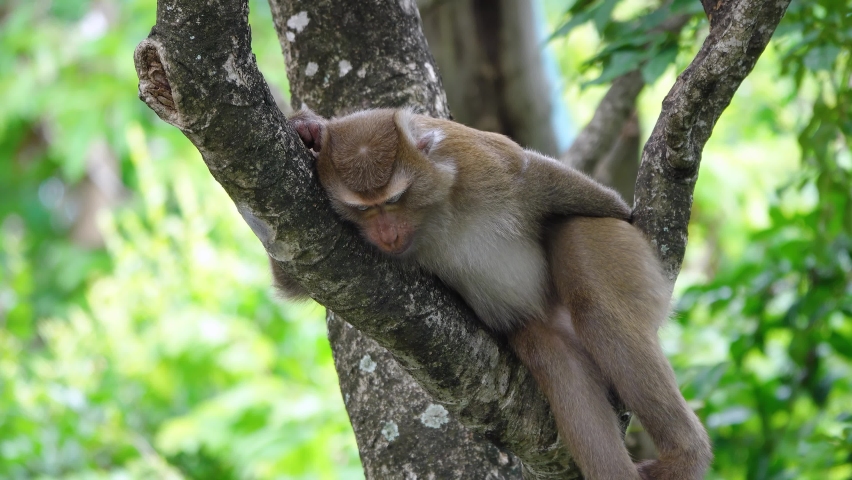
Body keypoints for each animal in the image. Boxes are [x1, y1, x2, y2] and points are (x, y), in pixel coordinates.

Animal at [272, 108, 712, 480]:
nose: (386, 234)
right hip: (541, 327)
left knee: (592, 291)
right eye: (363, 210)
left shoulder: (485, 163)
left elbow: (556, 183)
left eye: (394, 199)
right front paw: (305, 129)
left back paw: (686, 455)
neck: (433, 214)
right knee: (552, 357)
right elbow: (295, 264)